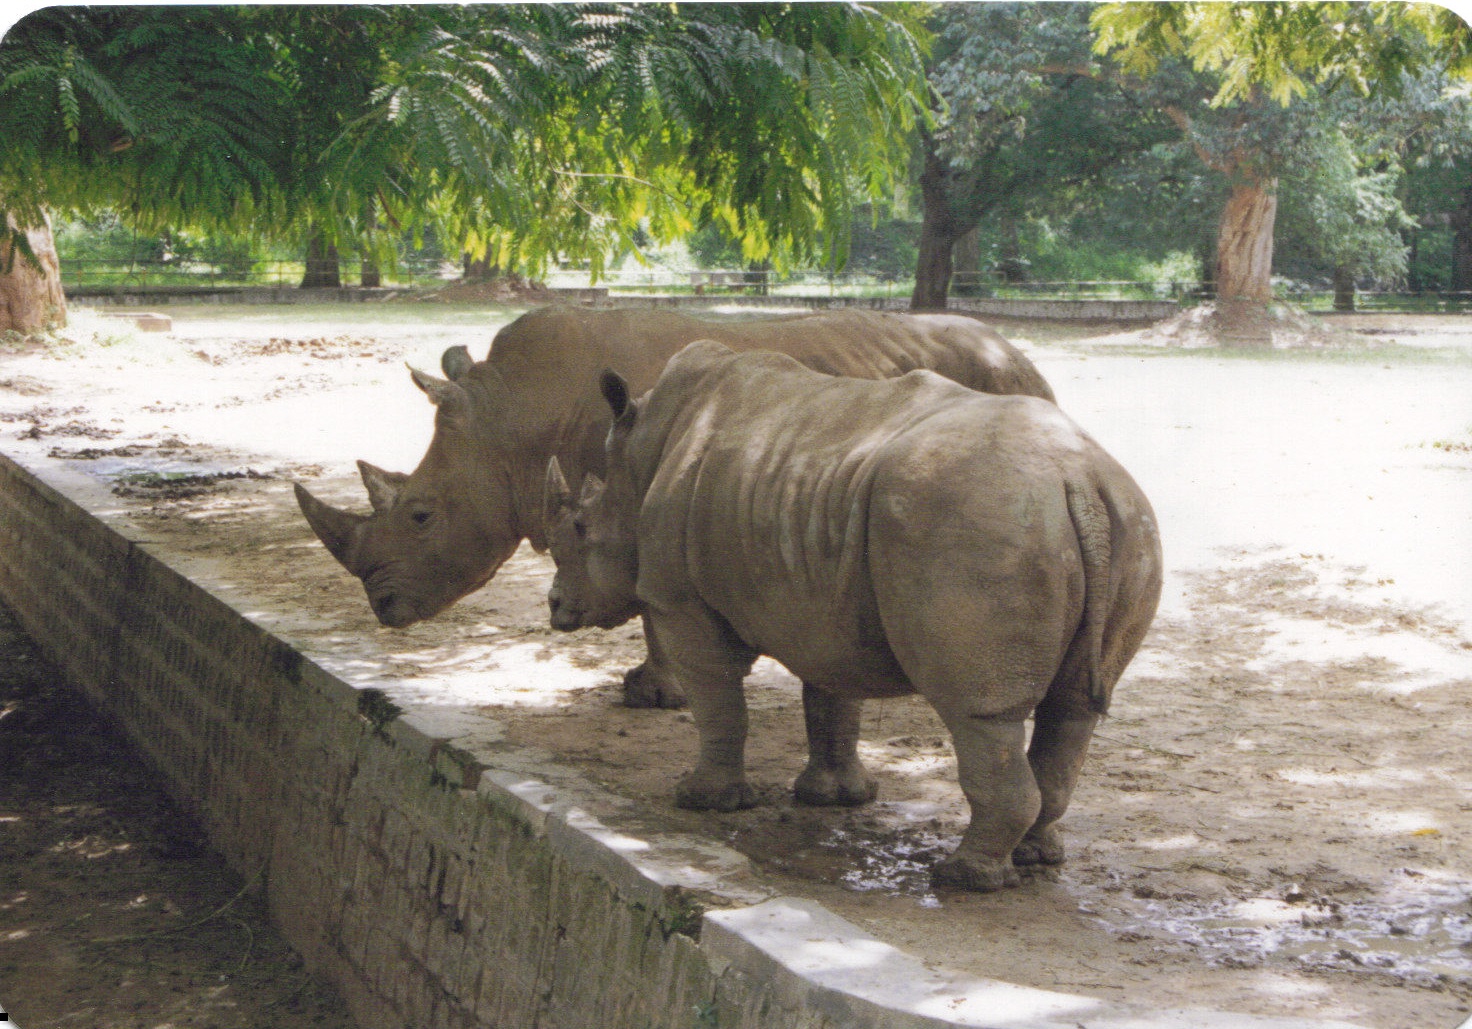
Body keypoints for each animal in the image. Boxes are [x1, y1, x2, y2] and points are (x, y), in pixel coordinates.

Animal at [295, 304, 1055, 708]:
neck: (512, 415)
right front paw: (656, 688)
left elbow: (648, 598)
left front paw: (658, 694)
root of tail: (1020, 353)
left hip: (1003, 398)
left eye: (421, 515)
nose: (382, 608)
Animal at [543, 341, 1162, 891]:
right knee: (1073, 710)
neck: (638, 461)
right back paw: (1036, 857)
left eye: (580, 528)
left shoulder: (681, 601)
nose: (554, 607)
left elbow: (718, 701)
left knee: (980, 713)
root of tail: (1077, 480)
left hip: (979, 522)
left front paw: (703, 801)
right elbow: (832, 696)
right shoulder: (820, 589)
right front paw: (835, 798)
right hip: (1124, 525)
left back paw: (964, 878)